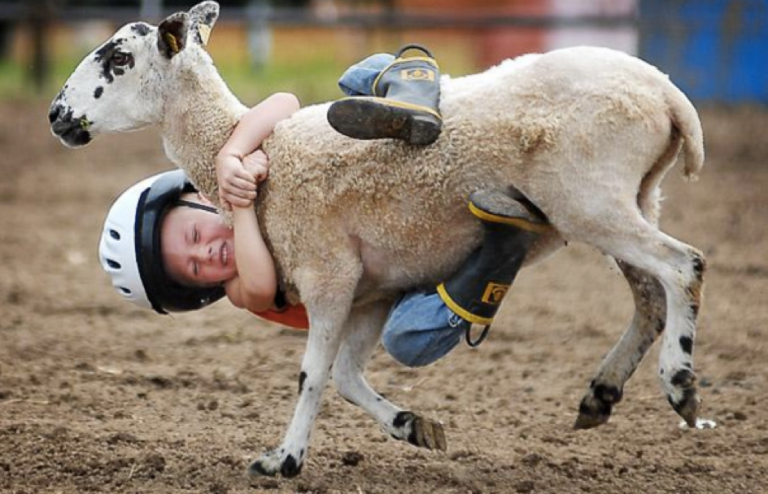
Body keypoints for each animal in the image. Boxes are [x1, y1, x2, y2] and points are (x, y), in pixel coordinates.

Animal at [49, 1, 706, 478]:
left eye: (118, 59)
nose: (56, 115)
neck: (262, 156)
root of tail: (668, 93)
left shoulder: (329, 276)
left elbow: (312, 375)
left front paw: (285, 460)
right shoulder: (371, 293)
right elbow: (344, 376)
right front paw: (412, 427)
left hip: (590, 198)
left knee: (683, 265)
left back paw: (679, 383)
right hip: (630, 196)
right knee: (650, 298)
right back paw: (602, 393)